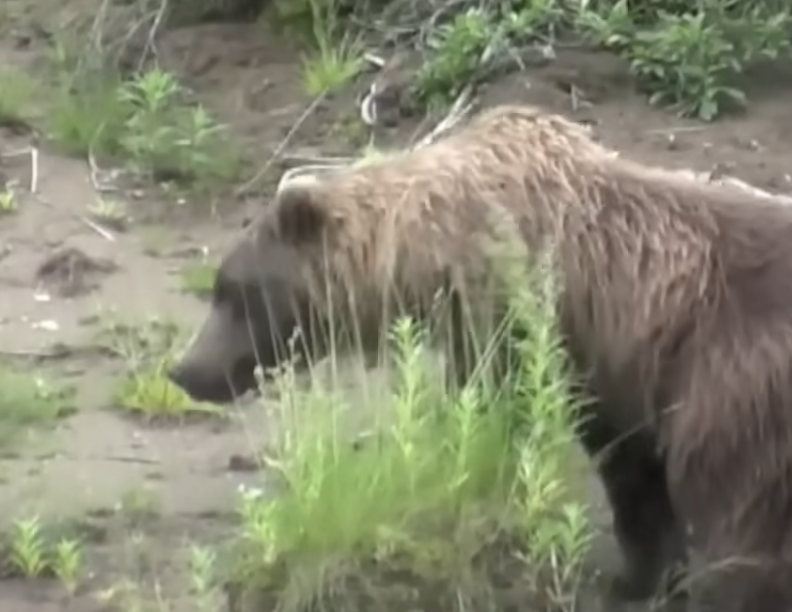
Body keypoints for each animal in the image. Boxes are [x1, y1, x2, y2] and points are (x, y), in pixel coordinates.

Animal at [168, 103, 792, 612]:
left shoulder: (532, 325)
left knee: (738, 515)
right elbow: (633, 466)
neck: (428, 257)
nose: (184, 370)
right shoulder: (615, 373)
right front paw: (651, 575)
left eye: (232, 292)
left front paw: (637, 577)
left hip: (741, 383)